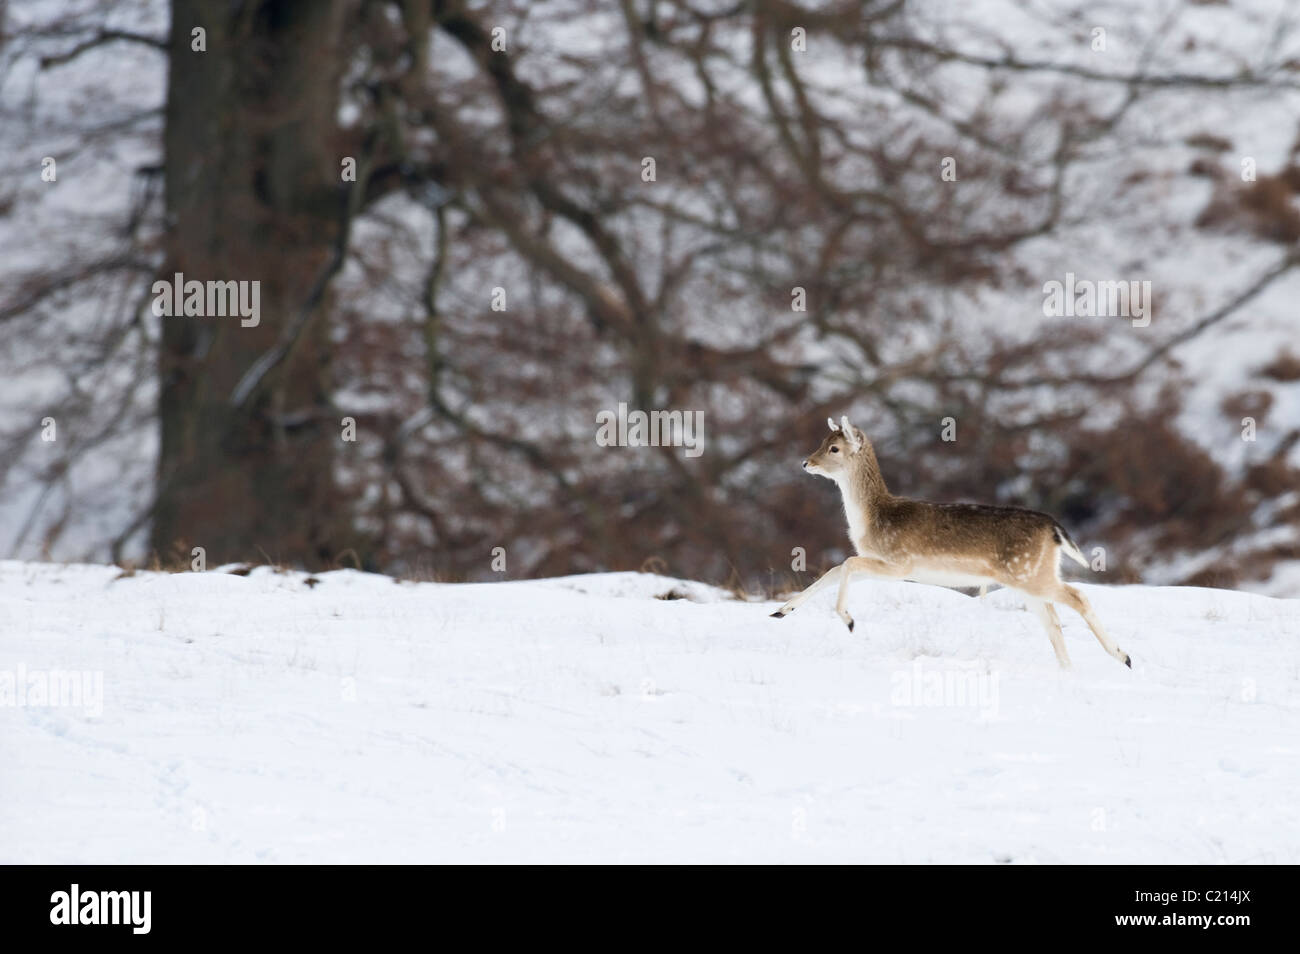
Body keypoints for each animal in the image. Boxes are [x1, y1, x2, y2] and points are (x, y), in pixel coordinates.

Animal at [770, 416, 1131, 670]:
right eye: (822, 440)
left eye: (834, 448)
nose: (806, 462)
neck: (873, 519)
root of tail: (1053, 527)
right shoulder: (882, 563)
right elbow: (834, 570)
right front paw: (780, 611)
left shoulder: (900, 563)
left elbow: (846, 564)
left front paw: (848, 620)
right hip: (1029, 577)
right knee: (1053, 619)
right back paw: (1069, 670)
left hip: (1028, 574)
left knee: (1078, 596)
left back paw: (1123, 656)